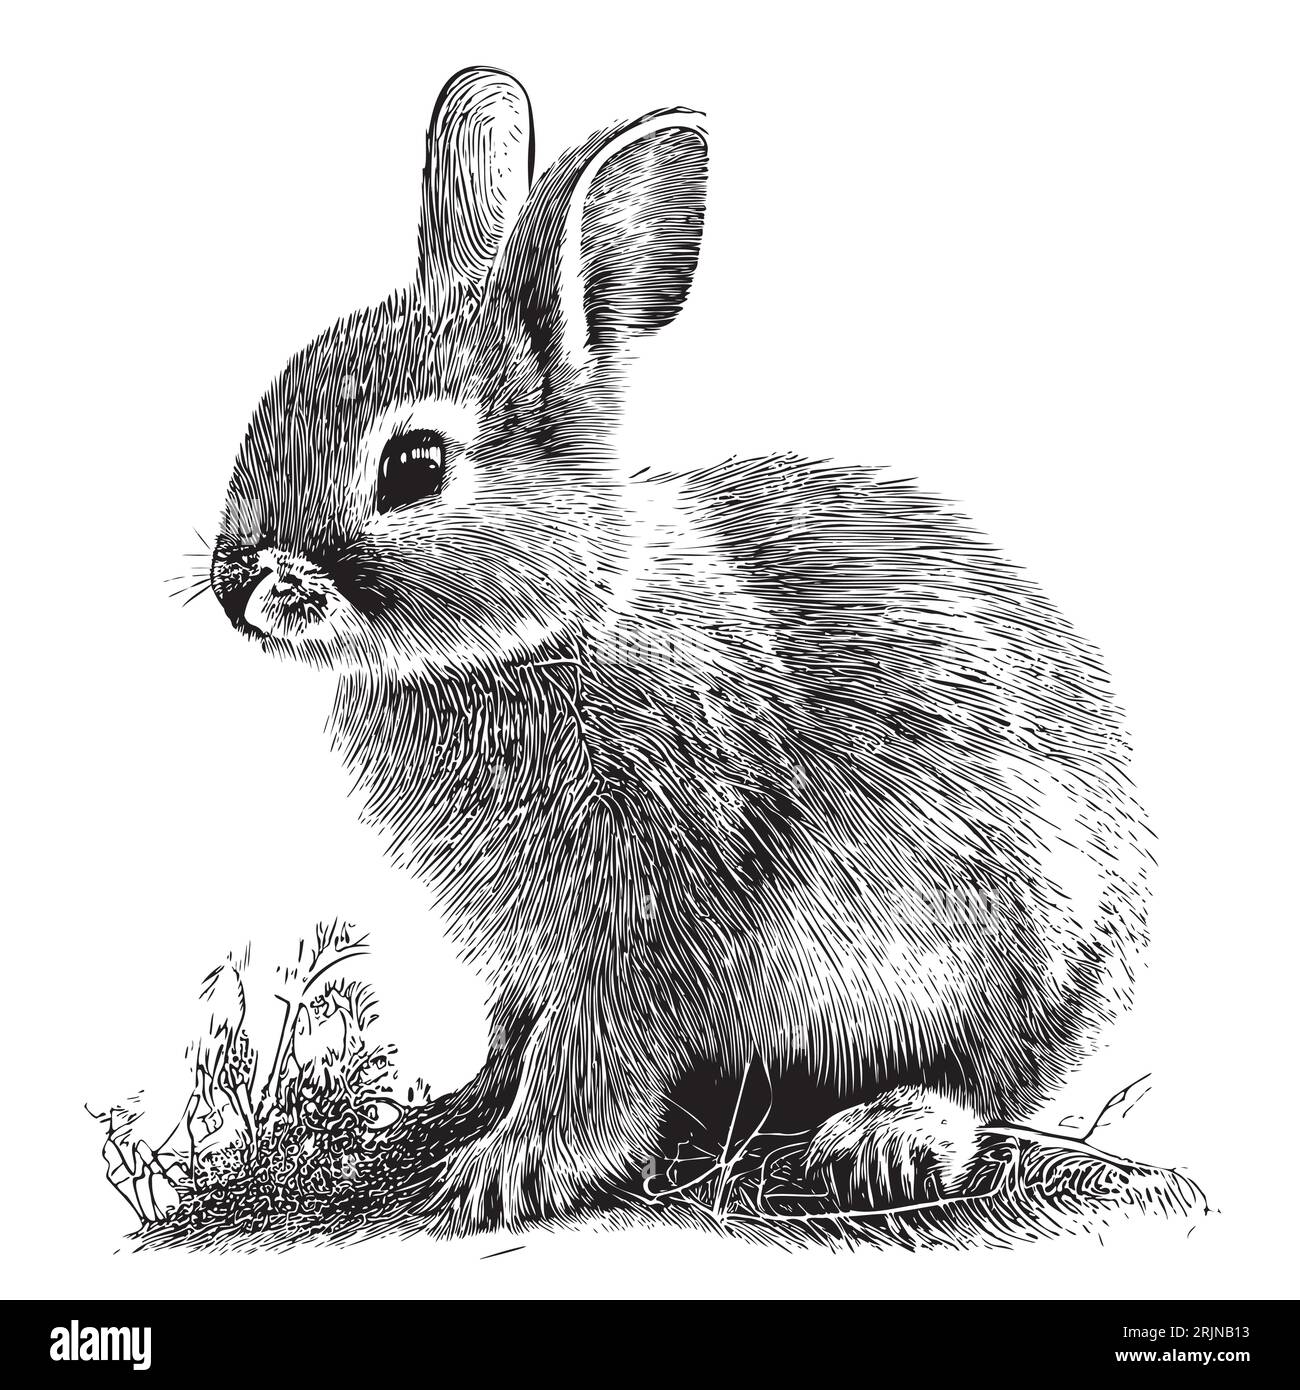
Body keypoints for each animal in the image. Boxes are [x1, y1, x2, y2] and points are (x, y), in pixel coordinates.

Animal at [208, 67, 1150, 1231]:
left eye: (414, 464)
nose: (236, 581)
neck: (555, 626)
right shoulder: (529, 949)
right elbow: (515, 1030)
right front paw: (453, 1112)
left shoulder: (652, 894)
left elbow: (596, 1049)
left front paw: (516, 1165)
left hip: (1014, 917)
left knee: (992, 1072)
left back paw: (890, 1133)